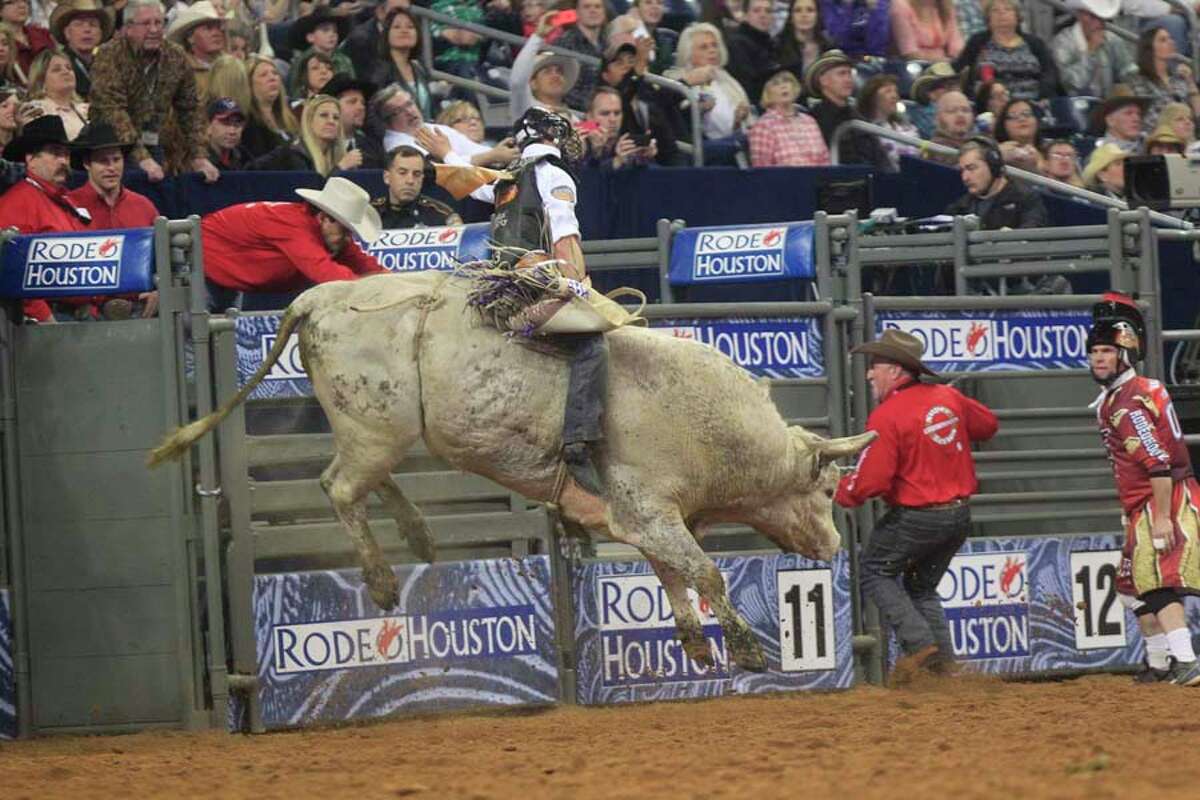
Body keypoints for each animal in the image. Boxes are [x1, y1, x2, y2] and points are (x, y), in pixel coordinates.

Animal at [150, 271, 874, 672]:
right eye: (827, 486)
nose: (833, 545)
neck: (708, 422)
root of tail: (320, 298)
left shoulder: (644, 522)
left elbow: (674, 574)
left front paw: (696, 645)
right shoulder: (648, 508)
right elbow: (703, 571)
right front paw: (746, 649)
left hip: (378, 430)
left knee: (361, 477)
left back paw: (418, 535)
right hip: (375, 428)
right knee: (340, 487)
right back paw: (383, 580)